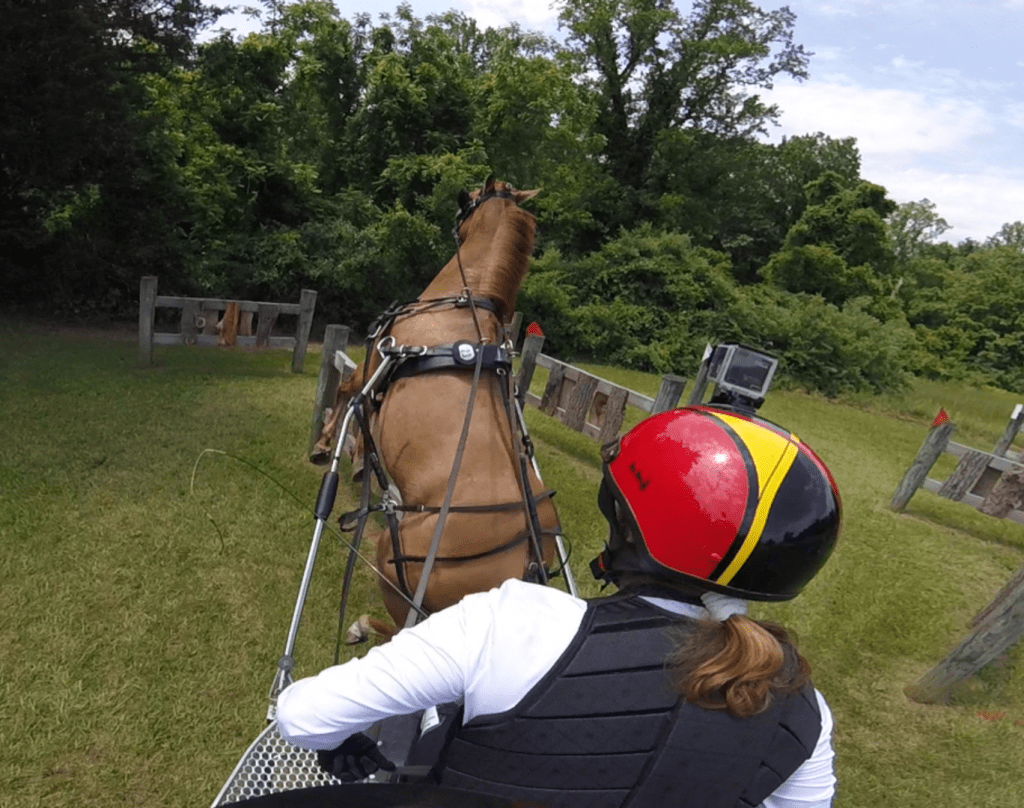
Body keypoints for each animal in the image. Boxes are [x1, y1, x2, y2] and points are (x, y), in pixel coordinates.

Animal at [316, 178, 560, 631]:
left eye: (468, 201)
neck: (467, 300)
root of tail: (521, 565)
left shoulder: (374, 365)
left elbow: (346, 394)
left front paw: (326, 445)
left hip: (393, 566)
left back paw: (362, 626)